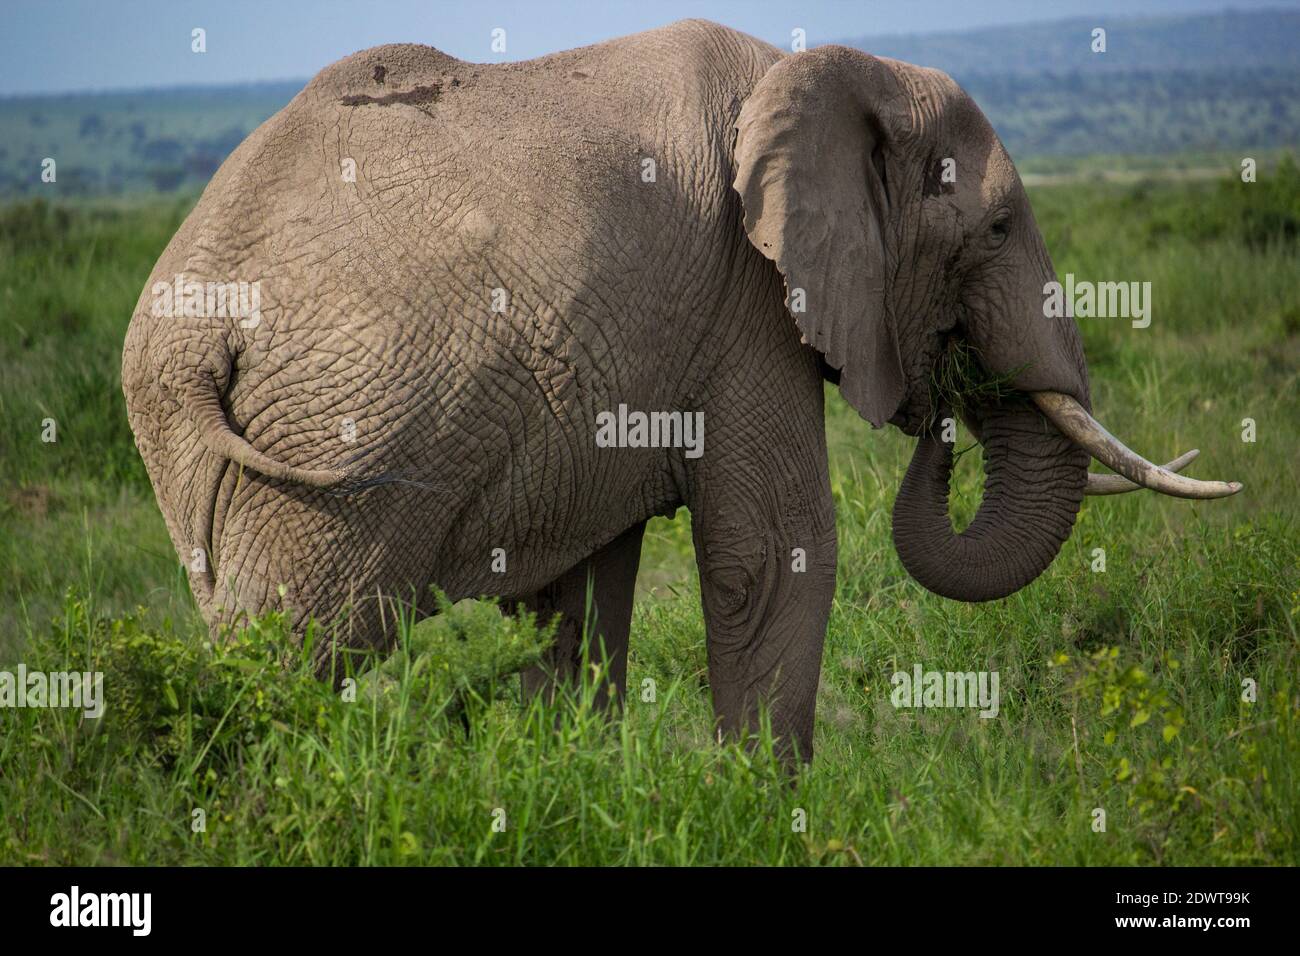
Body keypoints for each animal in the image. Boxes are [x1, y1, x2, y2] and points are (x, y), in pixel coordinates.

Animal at [121, 19, 1239, 762]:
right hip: (344, 435)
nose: (945, 404)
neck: (838, 70)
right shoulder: (745, 297)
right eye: (1000, 228)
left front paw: (572, 774)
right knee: (297, 649)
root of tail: (190, 335)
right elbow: (774, 548)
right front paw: (768, 805)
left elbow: (581, 592)